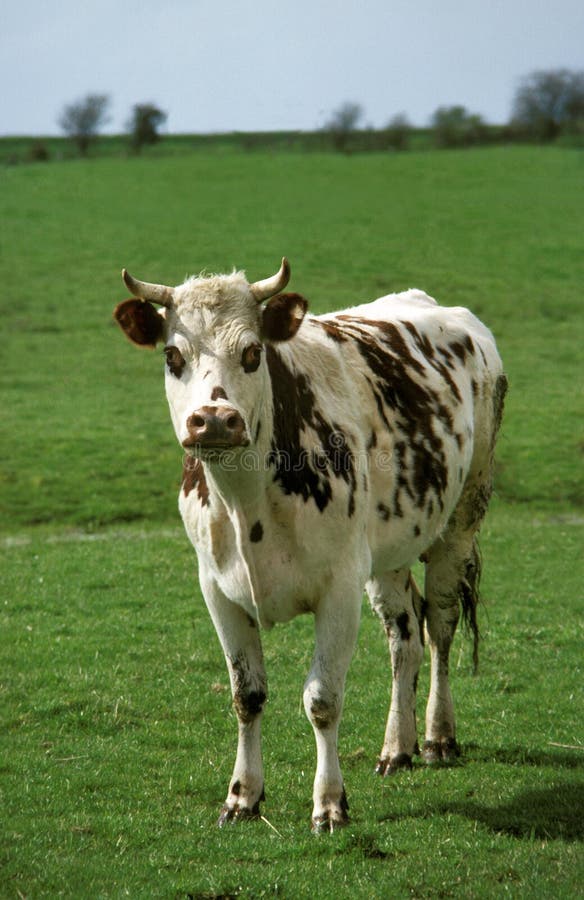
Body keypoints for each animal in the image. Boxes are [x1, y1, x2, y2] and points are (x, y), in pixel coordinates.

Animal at [114, 258, 506, 833]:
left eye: (252, 352)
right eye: (172, 355)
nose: (214, 420)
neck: (247, 501)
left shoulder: (338, 589)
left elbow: (322, 700)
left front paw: (329, 803)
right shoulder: (217, 590)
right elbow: (246, 696)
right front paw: (242, 796)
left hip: (461, 518)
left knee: (439, 625)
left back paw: (437, 736)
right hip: (385, 551)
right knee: (404, 636)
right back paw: (397, 747)